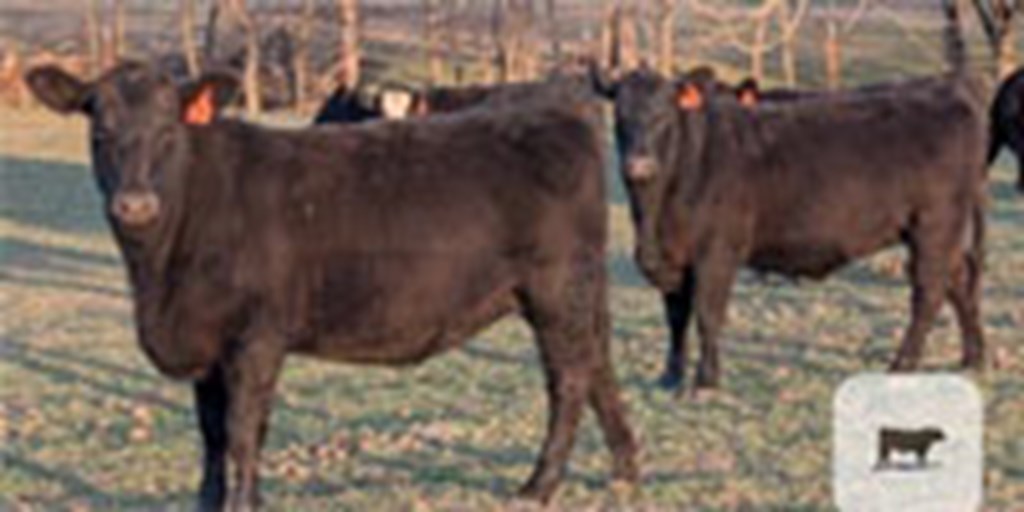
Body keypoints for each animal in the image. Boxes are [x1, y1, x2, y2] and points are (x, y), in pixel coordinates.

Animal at [25, 61, 639, 509]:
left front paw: (243, 503)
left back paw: (539, 485)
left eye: (168, 130)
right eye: (100, 130)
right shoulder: (207, 344)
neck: (160, 279)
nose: (135, 204)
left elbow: (244, 432)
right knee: (601, 364)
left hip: (555, 290)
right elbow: (212, 434)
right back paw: (626, 469)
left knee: (569, 381)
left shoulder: (256, 338)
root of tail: (561, 107)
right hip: (580, 293)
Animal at [597, 69, 989, 393]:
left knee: (929, 293)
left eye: (663, 115)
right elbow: (676, 319)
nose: (638, 164)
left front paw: (705, 381)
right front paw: (670, 376)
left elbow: (707, 316)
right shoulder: (673, 259)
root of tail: (947, 84)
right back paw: (973, 356)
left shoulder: (717, 254)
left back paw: (902, 366)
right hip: (941, 233)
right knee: (958, 282)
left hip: (934, 226)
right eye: (619, 116)